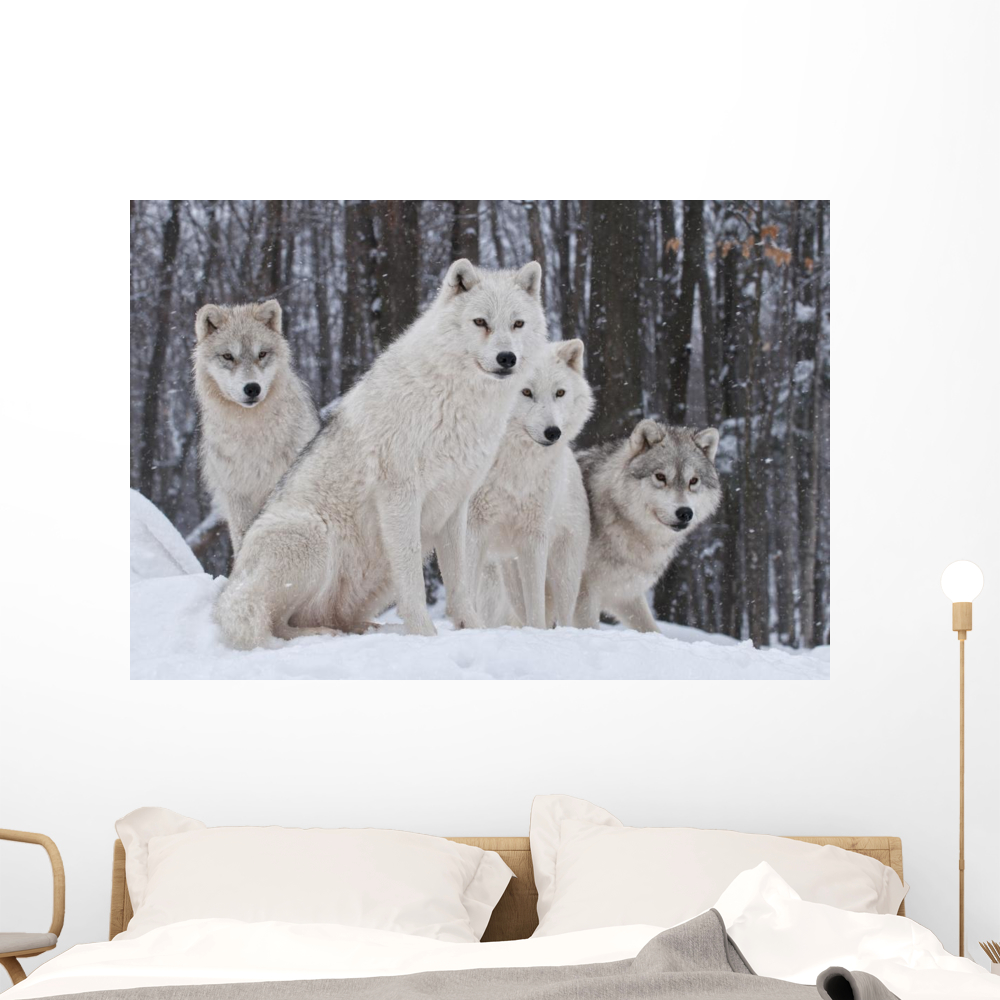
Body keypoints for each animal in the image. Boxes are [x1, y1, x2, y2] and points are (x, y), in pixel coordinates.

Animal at [213, 260, 549, 649]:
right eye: (481, 322)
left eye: (517, 323)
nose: (506, 358)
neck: (455, 400)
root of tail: (232, 585)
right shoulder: (400, 496)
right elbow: (414, 585)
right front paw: (424, 636)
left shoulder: (455, 504)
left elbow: (460, 583)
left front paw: (473, 629)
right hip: (312, 537)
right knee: (275, 622)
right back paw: (322, 634)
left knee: (332, 618)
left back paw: (369, 629)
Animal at [468, 339, 594, 629]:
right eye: (525, 392)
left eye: (560, 393)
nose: (553, 432)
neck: (514, 466)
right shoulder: (472, 529)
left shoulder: (534, 537)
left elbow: (536, 607)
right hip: (504, 576)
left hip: (563, 573)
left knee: (562, 616)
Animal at [574, 419, 722, 633]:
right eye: (660, 477)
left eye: (693, 481)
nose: (685, 513)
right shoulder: (583, 593)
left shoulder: (624, 594)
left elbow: (652, 629)